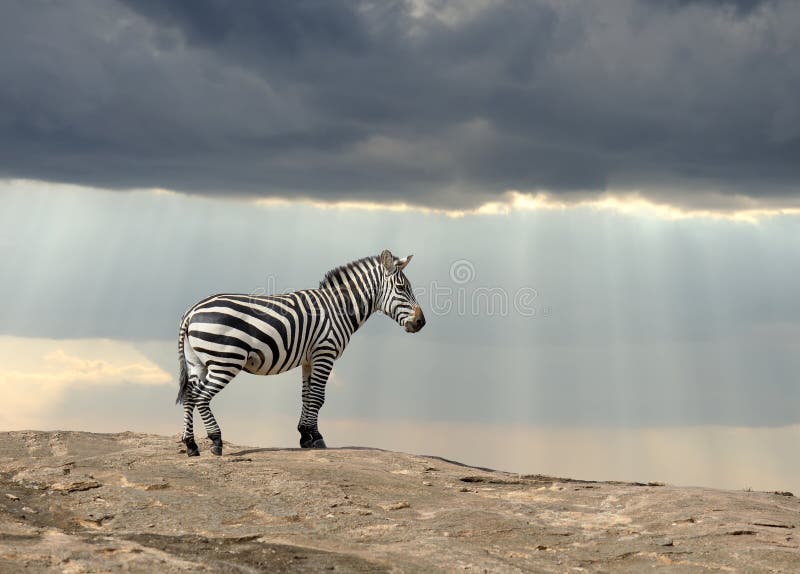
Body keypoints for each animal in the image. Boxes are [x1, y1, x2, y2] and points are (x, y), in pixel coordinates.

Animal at [176, 249, 426, 456]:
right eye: (402, 288)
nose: (421, 322)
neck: (339, 308)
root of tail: (191, 311)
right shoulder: (325, 353)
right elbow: (318, 397)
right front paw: (316, 438)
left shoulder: (309, 359)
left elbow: (307, 396)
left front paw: (305, 435)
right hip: (226, 360)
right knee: (202, 397)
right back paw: (216, 441)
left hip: (196, 362)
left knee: (190, 395)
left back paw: (191, 445)